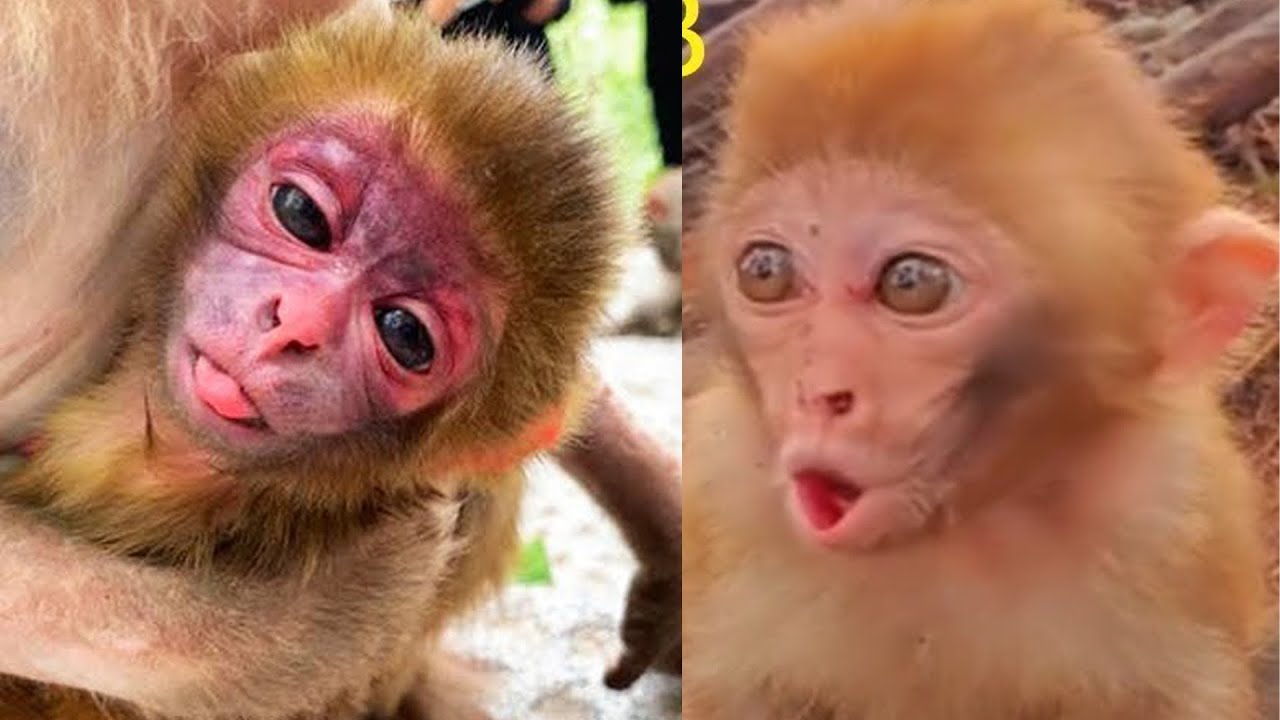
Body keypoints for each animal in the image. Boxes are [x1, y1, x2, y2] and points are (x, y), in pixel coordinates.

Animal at [680, 0, 1278, 718]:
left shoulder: (1175, 511)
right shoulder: (720, 484)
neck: (965, 528)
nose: (818, 393)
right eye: (766, 272)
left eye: (910, 283)